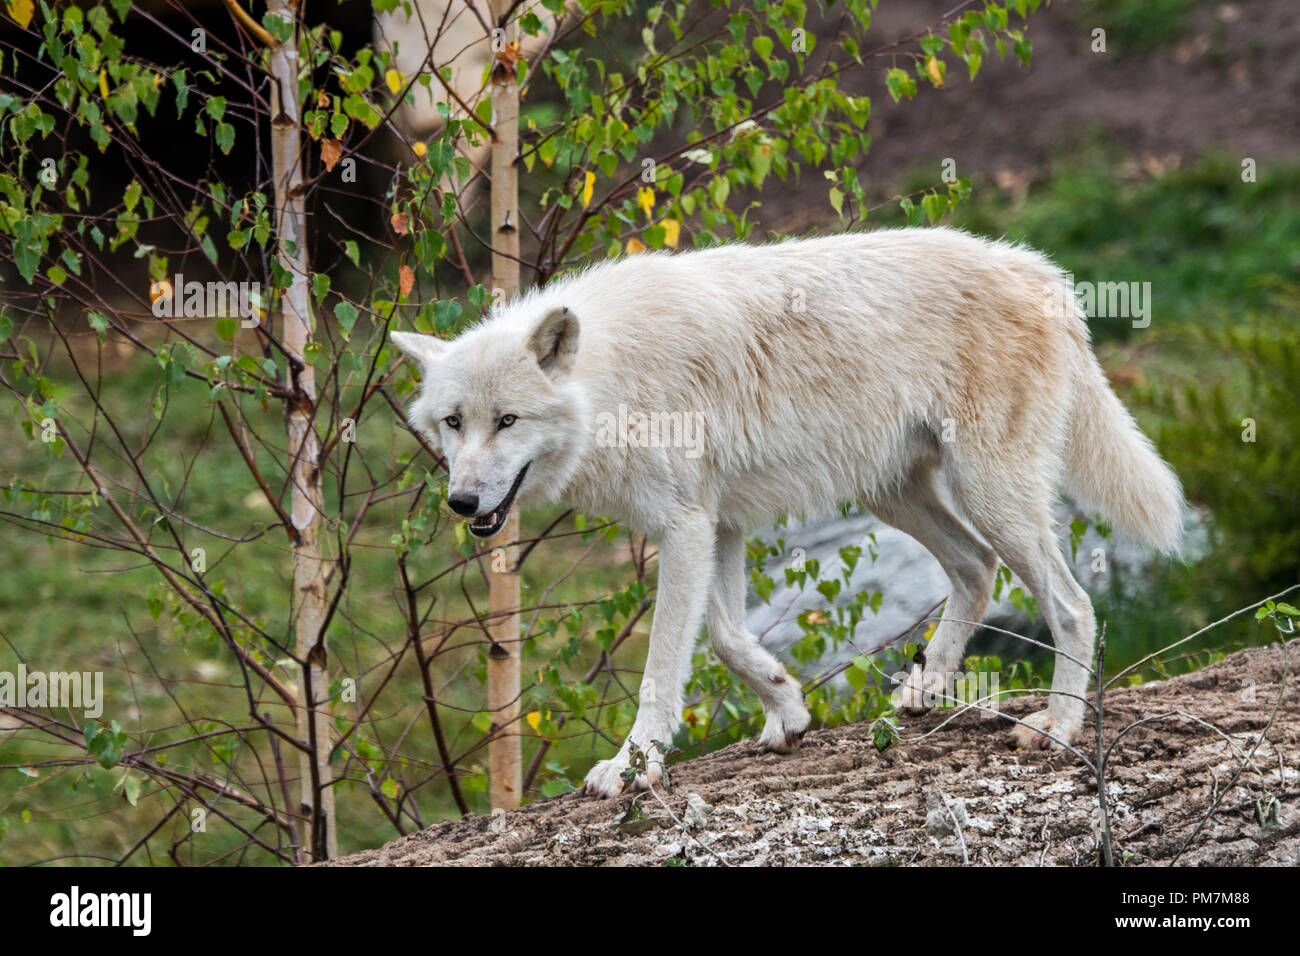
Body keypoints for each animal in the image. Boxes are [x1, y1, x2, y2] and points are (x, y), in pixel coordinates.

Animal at [391, 226, 1184, 799]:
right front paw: (788, 710)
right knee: (975, 567)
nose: (463, 502)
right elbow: (723, 637)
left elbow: (663, 666)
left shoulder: (685, 526)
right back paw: (926, 686)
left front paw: (633, 765)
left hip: (991, 495)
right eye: (454, 422)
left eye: (509, 421)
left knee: (1072, 603)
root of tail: (1035, 270)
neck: (612, 377)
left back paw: (1057, 724)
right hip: (895, 493)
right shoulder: (717, 525)